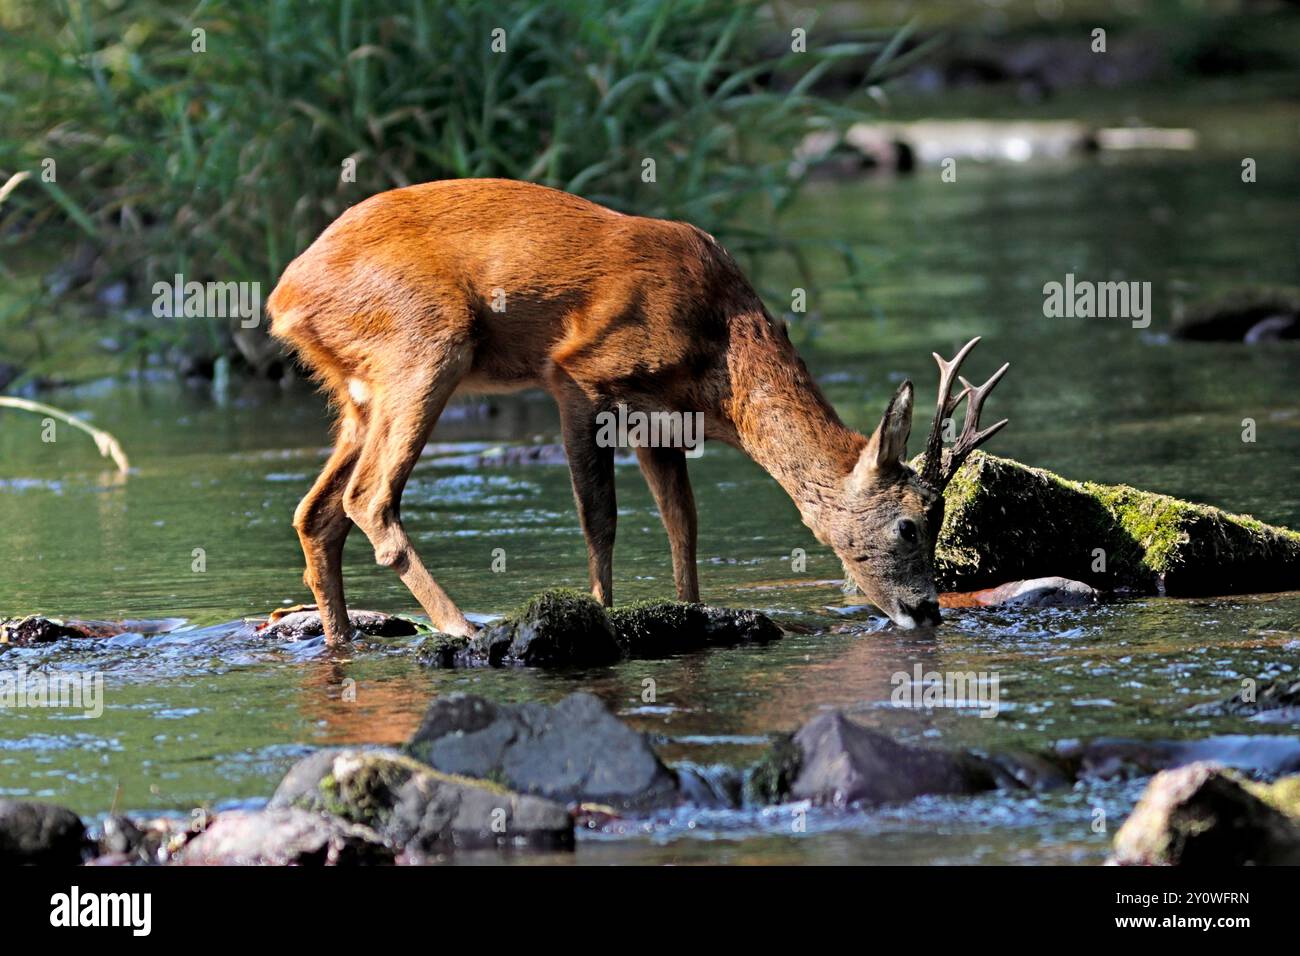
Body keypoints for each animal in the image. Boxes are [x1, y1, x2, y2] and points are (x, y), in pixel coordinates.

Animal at [266, 178, 1009, 645]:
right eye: (910, 525)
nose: (927, 612)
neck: (722, 350)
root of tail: (281, 296)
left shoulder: (661, 417)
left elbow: (684, 522)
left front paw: (692, 611)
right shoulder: (577, 375)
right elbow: (601, 519)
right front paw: (600, 615)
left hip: (358, 391)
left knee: (316, 512)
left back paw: (340, 640)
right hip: (424, 340)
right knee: (369, 499)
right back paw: (461, 627)